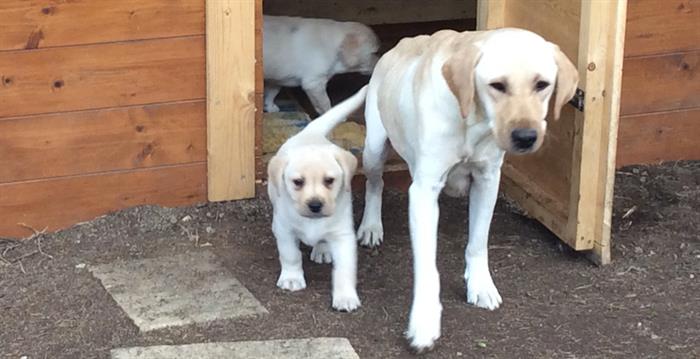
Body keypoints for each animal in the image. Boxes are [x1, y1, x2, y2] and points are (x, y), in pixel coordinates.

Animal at [266, 85, 370, 312]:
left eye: (329, 180)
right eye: (298, 182)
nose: (315, 205)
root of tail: (311, 132)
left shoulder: (343, 236)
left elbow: (345, 270)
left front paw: (345, 297)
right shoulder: (285, 229)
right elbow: (290, 254)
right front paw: (292, 278)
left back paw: (322, 250)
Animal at [356, 28, 580, 352]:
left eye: (542, 85)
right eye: (497, 85)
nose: (526, 136)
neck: (472, 122)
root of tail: (402, 42)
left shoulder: (488, 179)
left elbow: (478, 242)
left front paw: (480, 285)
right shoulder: (424, 191)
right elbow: (427, 267)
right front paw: (424, 322)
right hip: (374, 148)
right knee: (375, 184)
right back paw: (371, 226)